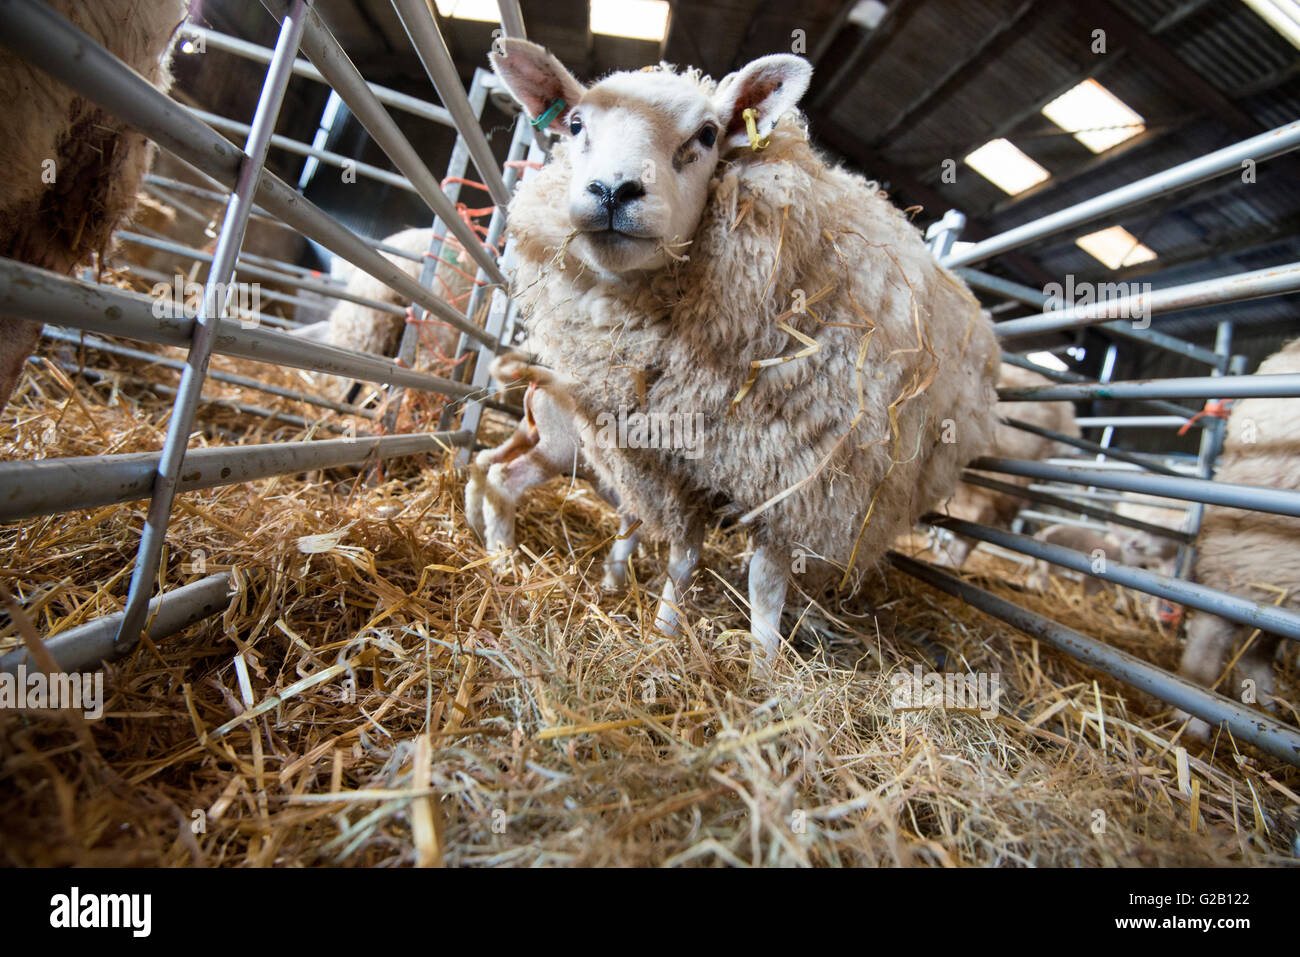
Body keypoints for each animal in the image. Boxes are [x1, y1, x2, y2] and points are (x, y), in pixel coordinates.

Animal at [488, 40, 1001, 667]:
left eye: (708, 134)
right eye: (577, 124)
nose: (612, 191)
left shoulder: (795, 483)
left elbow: (764, 582)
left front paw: (762, 665)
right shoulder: (669, 465)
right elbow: (683, 555)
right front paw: (667, 631)